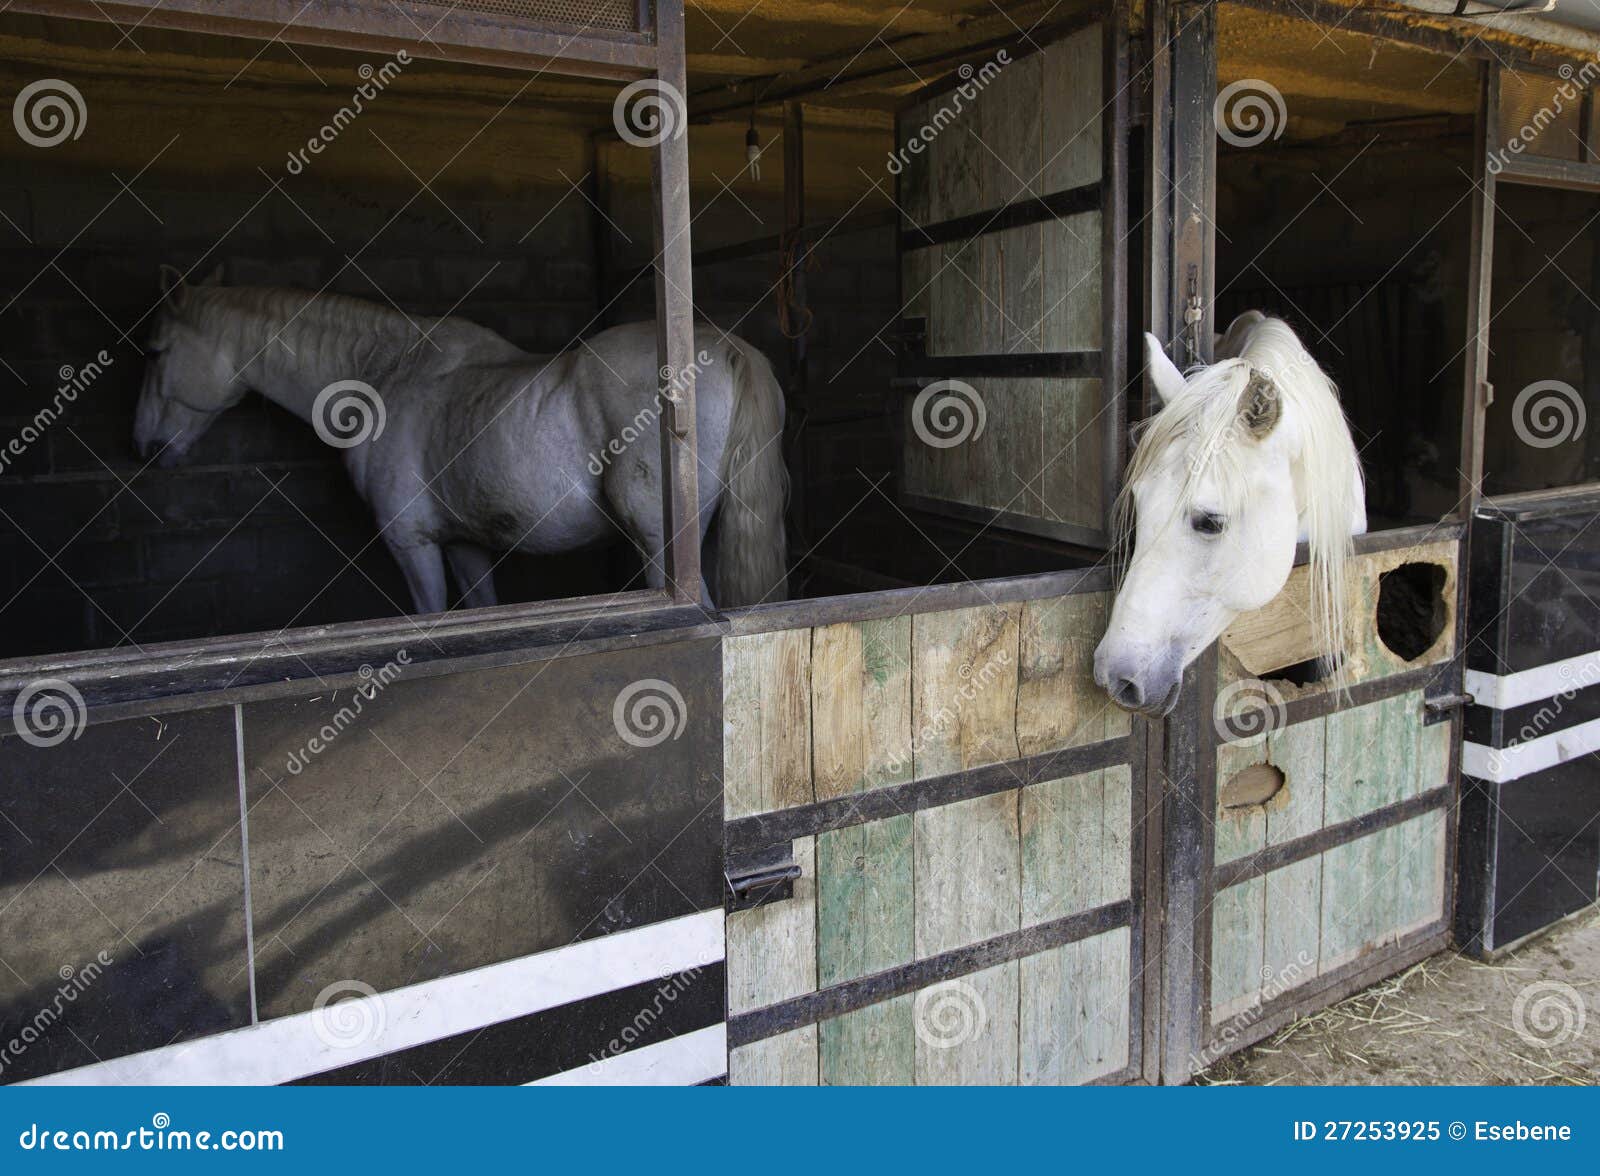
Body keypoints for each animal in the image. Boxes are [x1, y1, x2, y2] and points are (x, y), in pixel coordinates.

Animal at [132, 268, 788, 613]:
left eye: (157, 352)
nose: (143, 444)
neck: (387, 377)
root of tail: (728, 347)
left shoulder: (413, 544)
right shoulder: (465, 543)